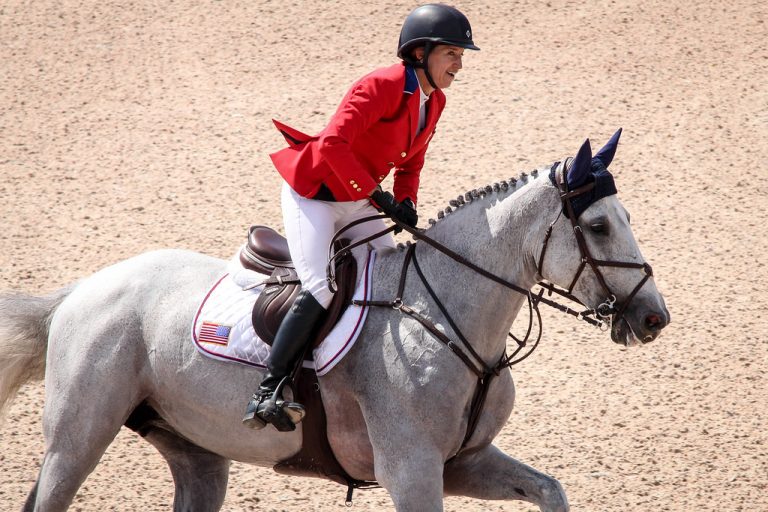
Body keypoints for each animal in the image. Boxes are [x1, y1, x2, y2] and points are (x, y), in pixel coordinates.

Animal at [0, 131, 669, 511]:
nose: (653, 316)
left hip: (197, 454)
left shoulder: (463, 462)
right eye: (599, 226)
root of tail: (81, 291)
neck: (445, 319)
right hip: (78, 439)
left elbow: (550, 489)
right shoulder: (413, 471)